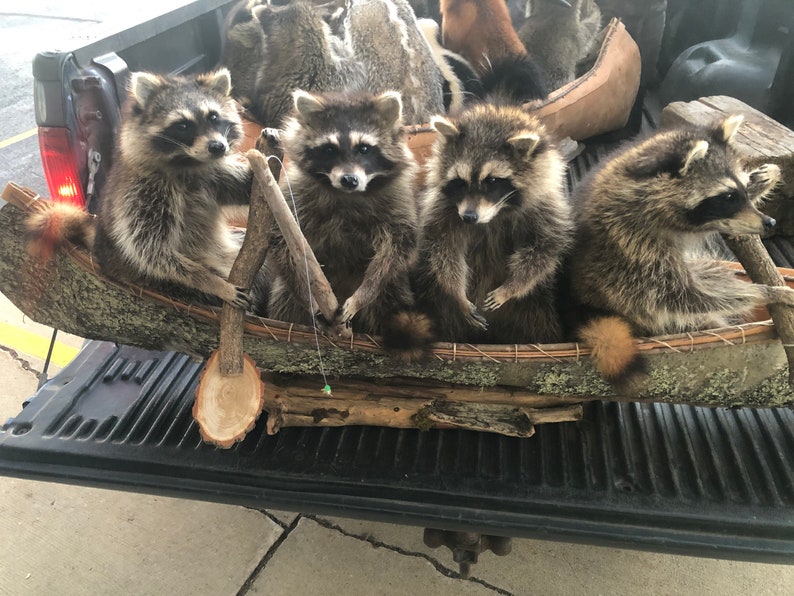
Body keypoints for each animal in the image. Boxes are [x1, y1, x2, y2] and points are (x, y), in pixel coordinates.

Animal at [92, 69, 253, 308]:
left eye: (214, 117)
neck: (187, 162)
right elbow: (151, 251)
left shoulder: (213, 175)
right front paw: (213, 283)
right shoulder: (141, 193)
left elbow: (241, 189)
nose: (218, 147)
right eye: (183, 125)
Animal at [260, 90, 431, 356]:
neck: (347, 195)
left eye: (364, 148)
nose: (349, 180)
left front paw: (363, 293)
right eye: (329, 149)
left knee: (389, 302)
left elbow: (400, 245)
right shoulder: (296, 194)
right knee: (285, 302)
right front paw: (309, 299)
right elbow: (282, 240)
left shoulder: (398, 200)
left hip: (393, 293)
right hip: (284, 296)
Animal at [413, 103, 573, 344]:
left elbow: (543, 250)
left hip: (536, 303)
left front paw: (511, 288)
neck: (494, 216)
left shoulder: (545, 208)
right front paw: (458, 293)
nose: (469, 217)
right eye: (460, 182)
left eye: (492, 181)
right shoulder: (442, 210)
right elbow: (444, 250)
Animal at [567, 115, 790, 393]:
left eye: (742, 191)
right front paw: (766, 292)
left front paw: (766, 177)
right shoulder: (629, 243)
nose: (769, 222)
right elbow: (681, 296)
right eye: (728, 196)